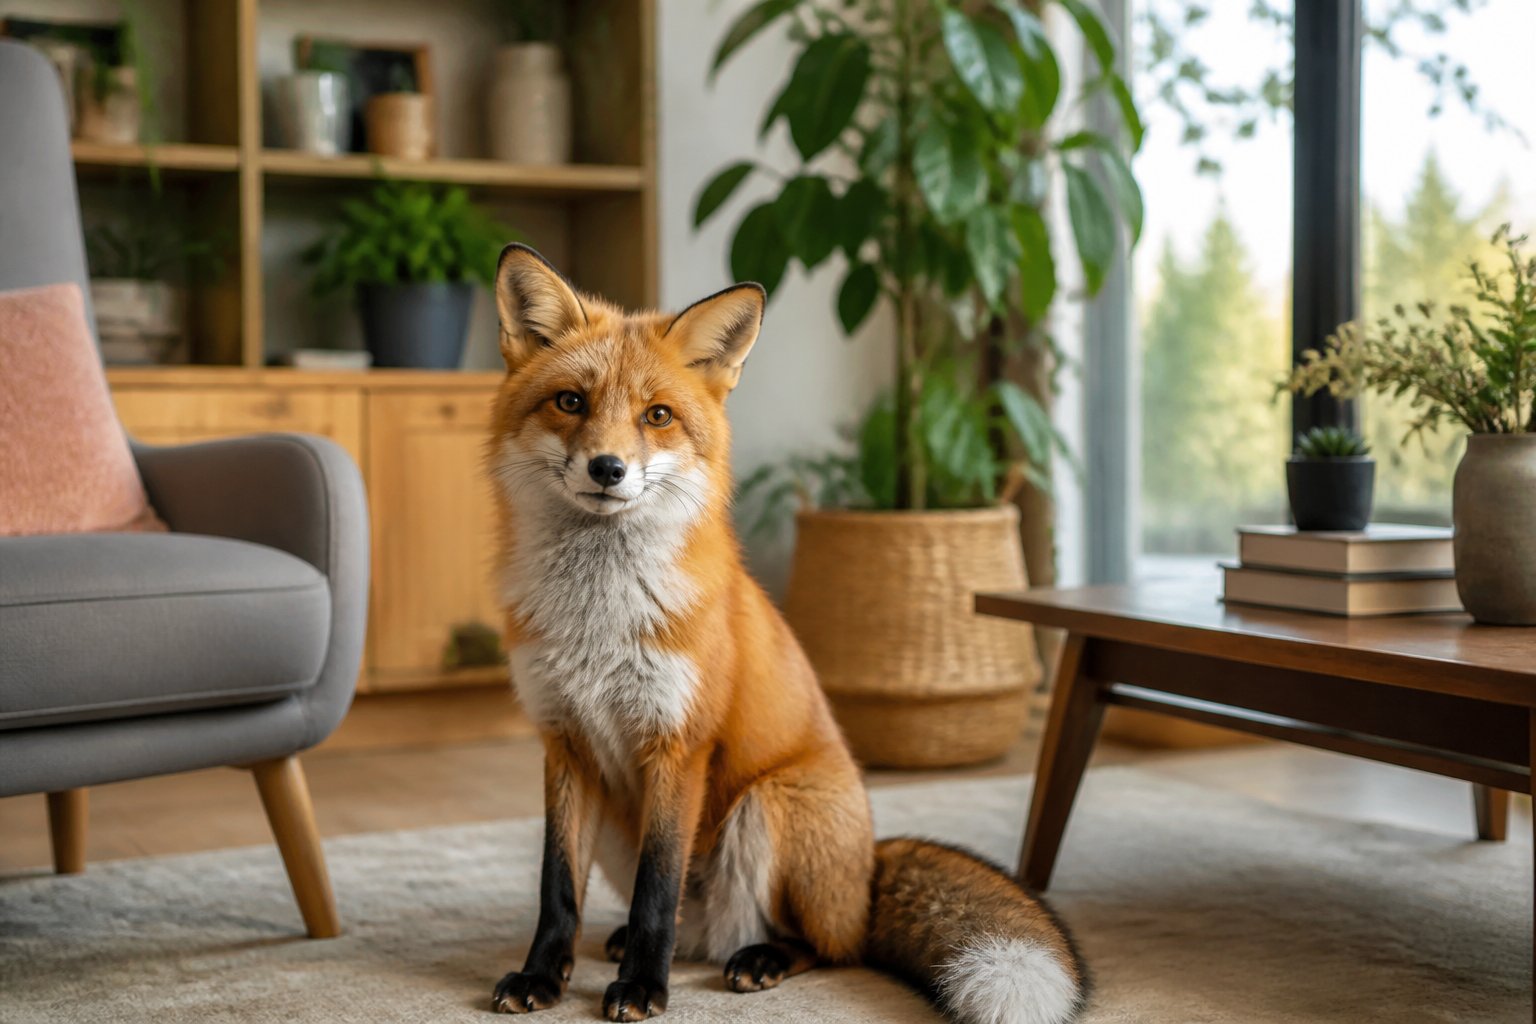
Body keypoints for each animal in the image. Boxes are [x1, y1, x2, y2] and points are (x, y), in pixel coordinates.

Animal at [485, 242, 1087, 1024]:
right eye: (571, 402)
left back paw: (759, 958)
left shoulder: (680, 746)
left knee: (828, 947)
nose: (608, 468)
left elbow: (656, 892)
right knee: (702, 927)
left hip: (766, 806)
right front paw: (543, 976)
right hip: (626, 828)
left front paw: (644, 988)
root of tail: (870, 867)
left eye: (657, 416)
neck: (599, 620)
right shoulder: (564, 742)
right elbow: (556, 888)